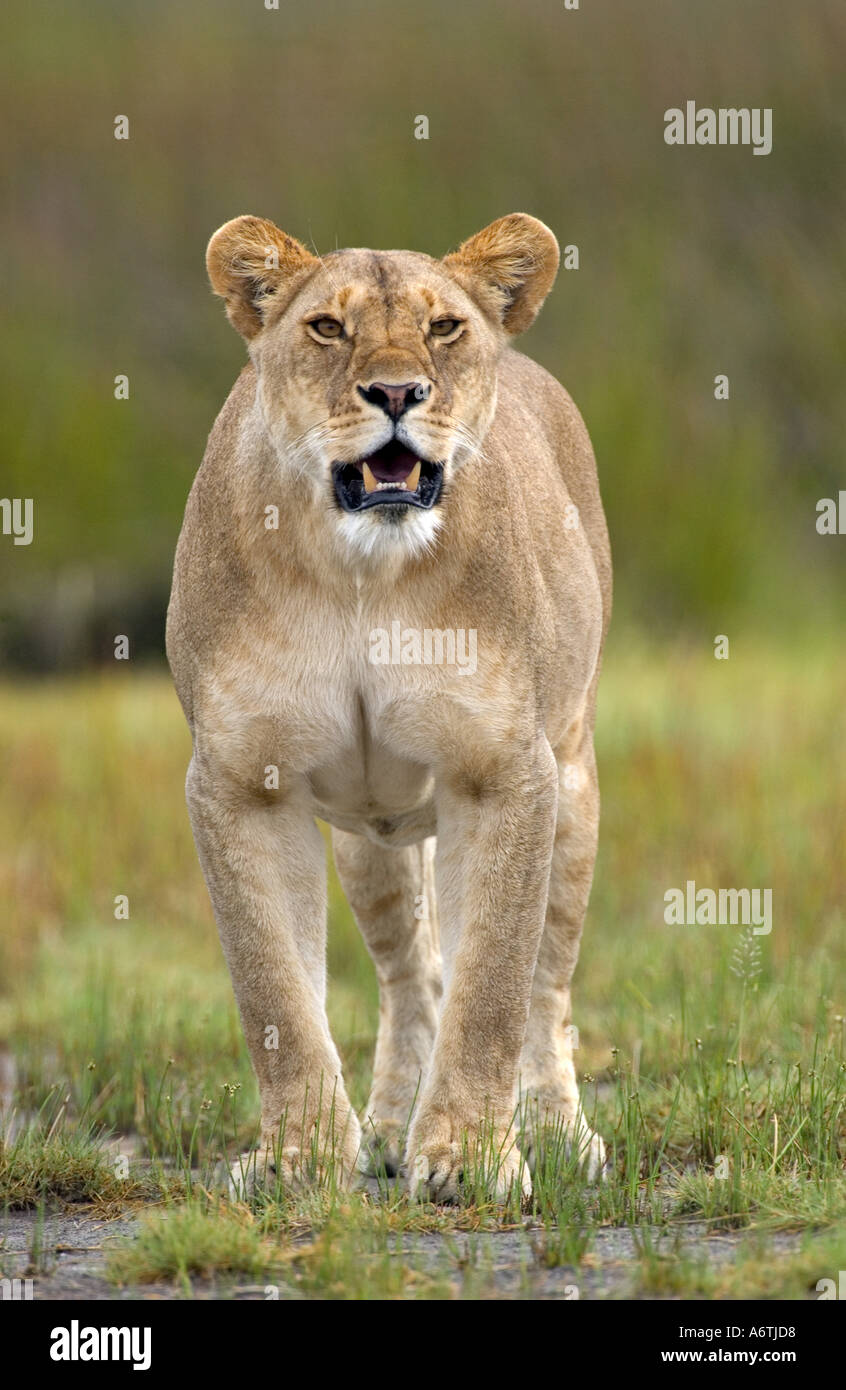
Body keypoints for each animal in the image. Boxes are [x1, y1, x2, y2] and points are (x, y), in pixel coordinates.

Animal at [166, 212, 611, 1201]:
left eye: (443, 326)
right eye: (328, 328)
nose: (400, 391)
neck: (364, 571)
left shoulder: (503, 773)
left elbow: (496, 985)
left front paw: (473, 1160)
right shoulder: (243, 781)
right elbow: (275, 992)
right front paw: (297, 1159)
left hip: (572, 788)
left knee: (547, 987)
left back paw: (558, 1132)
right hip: (371, 844)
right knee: (414, 979)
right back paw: (385, 1131)